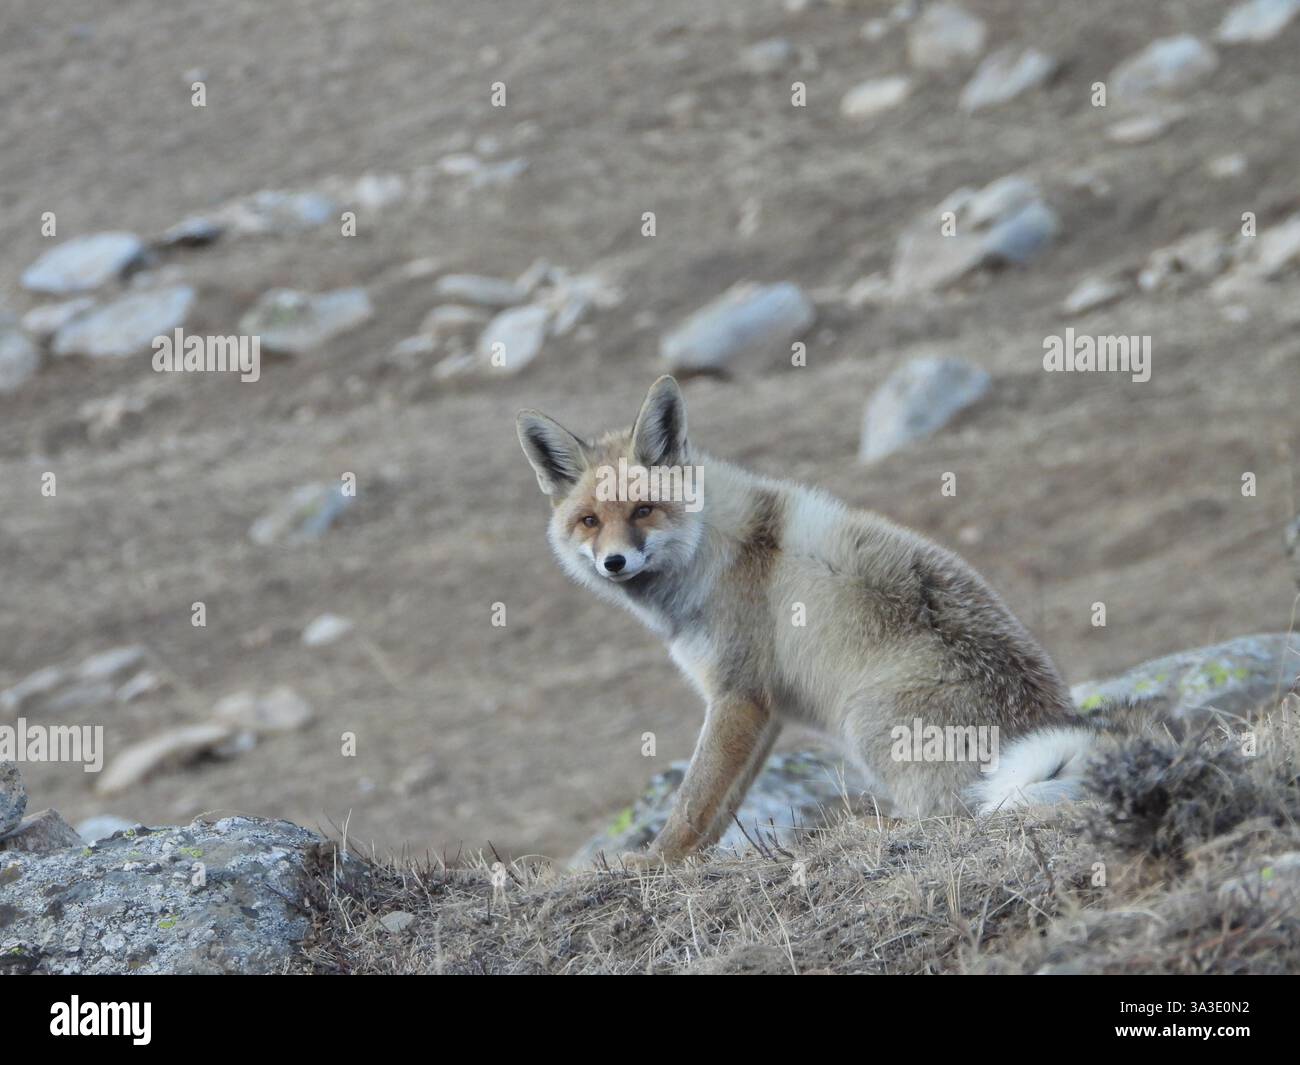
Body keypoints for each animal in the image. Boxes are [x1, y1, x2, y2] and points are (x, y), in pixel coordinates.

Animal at [517, 375, 1107, 866]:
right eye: (590, 521)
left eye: (643, 510)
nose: (614, 562)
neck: (714, 551)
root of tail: (1058, 722)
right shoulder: (763, 709)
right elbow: (720, 806)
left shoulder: (737, 693)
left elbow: (691, 800)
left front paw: (652, 862)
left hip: (864, 719)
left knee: (952, 815)